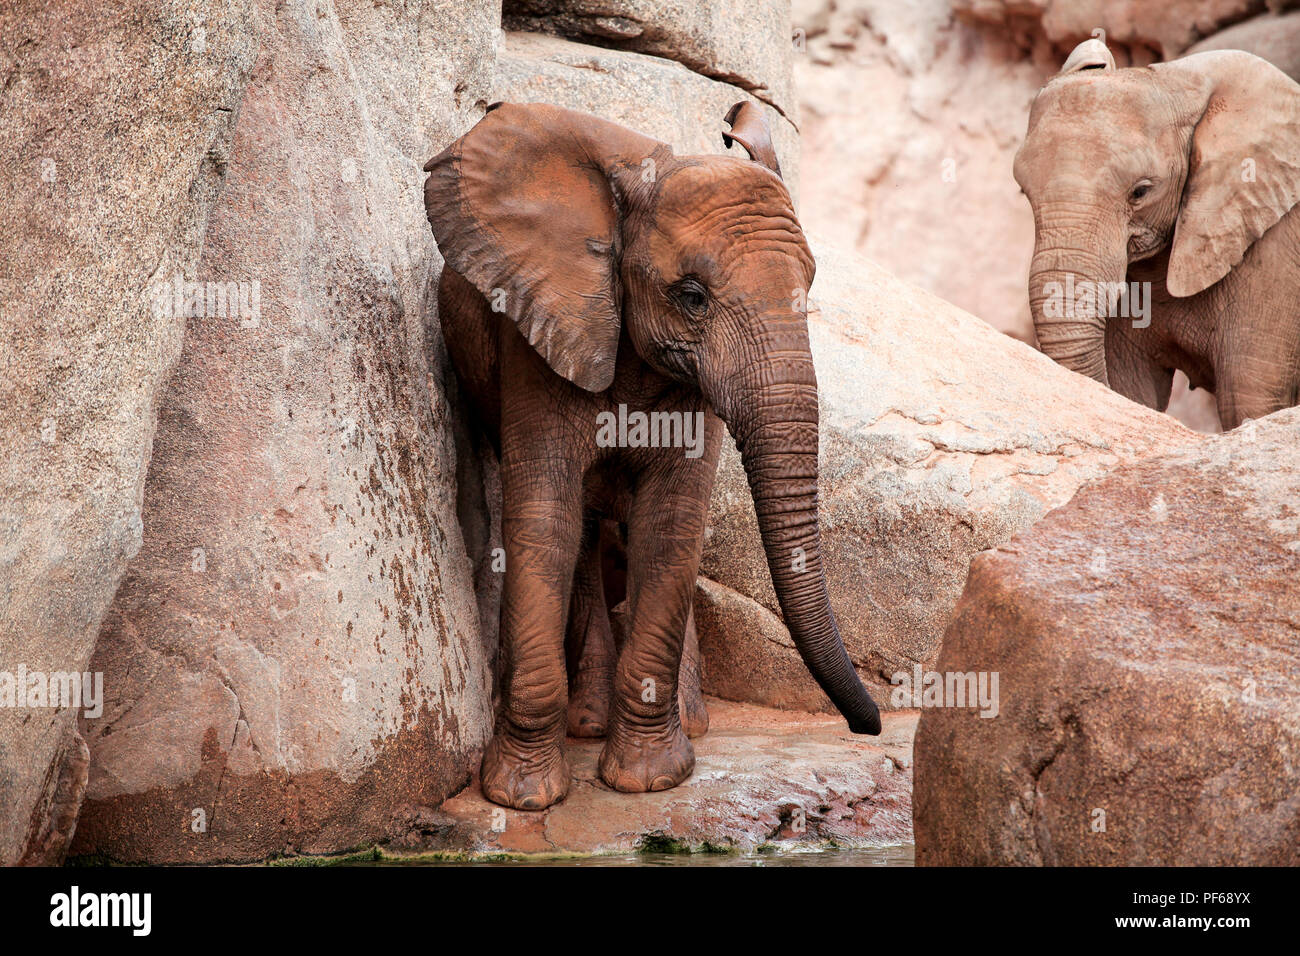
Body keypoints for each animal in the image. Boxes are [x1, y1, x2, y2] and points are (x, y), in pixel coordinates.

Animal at [423, 101, 881, 810]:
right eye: (691, 296)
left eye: (808, 286)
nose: (871, 726)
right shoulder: (542, 329)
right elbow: (544, 521)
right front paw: (522, 797)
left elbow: (670, 526)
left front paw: (649, 780)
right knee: (583, 531)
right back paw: (587, 723)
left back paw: (687, 722)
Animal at [1014, 38, 1300, 430]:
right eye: (1023, 191)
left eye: (1141, 191)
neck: (1174, 78)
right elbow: (1131, 390)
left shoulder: (1276, 255)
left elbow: (1248, 402)